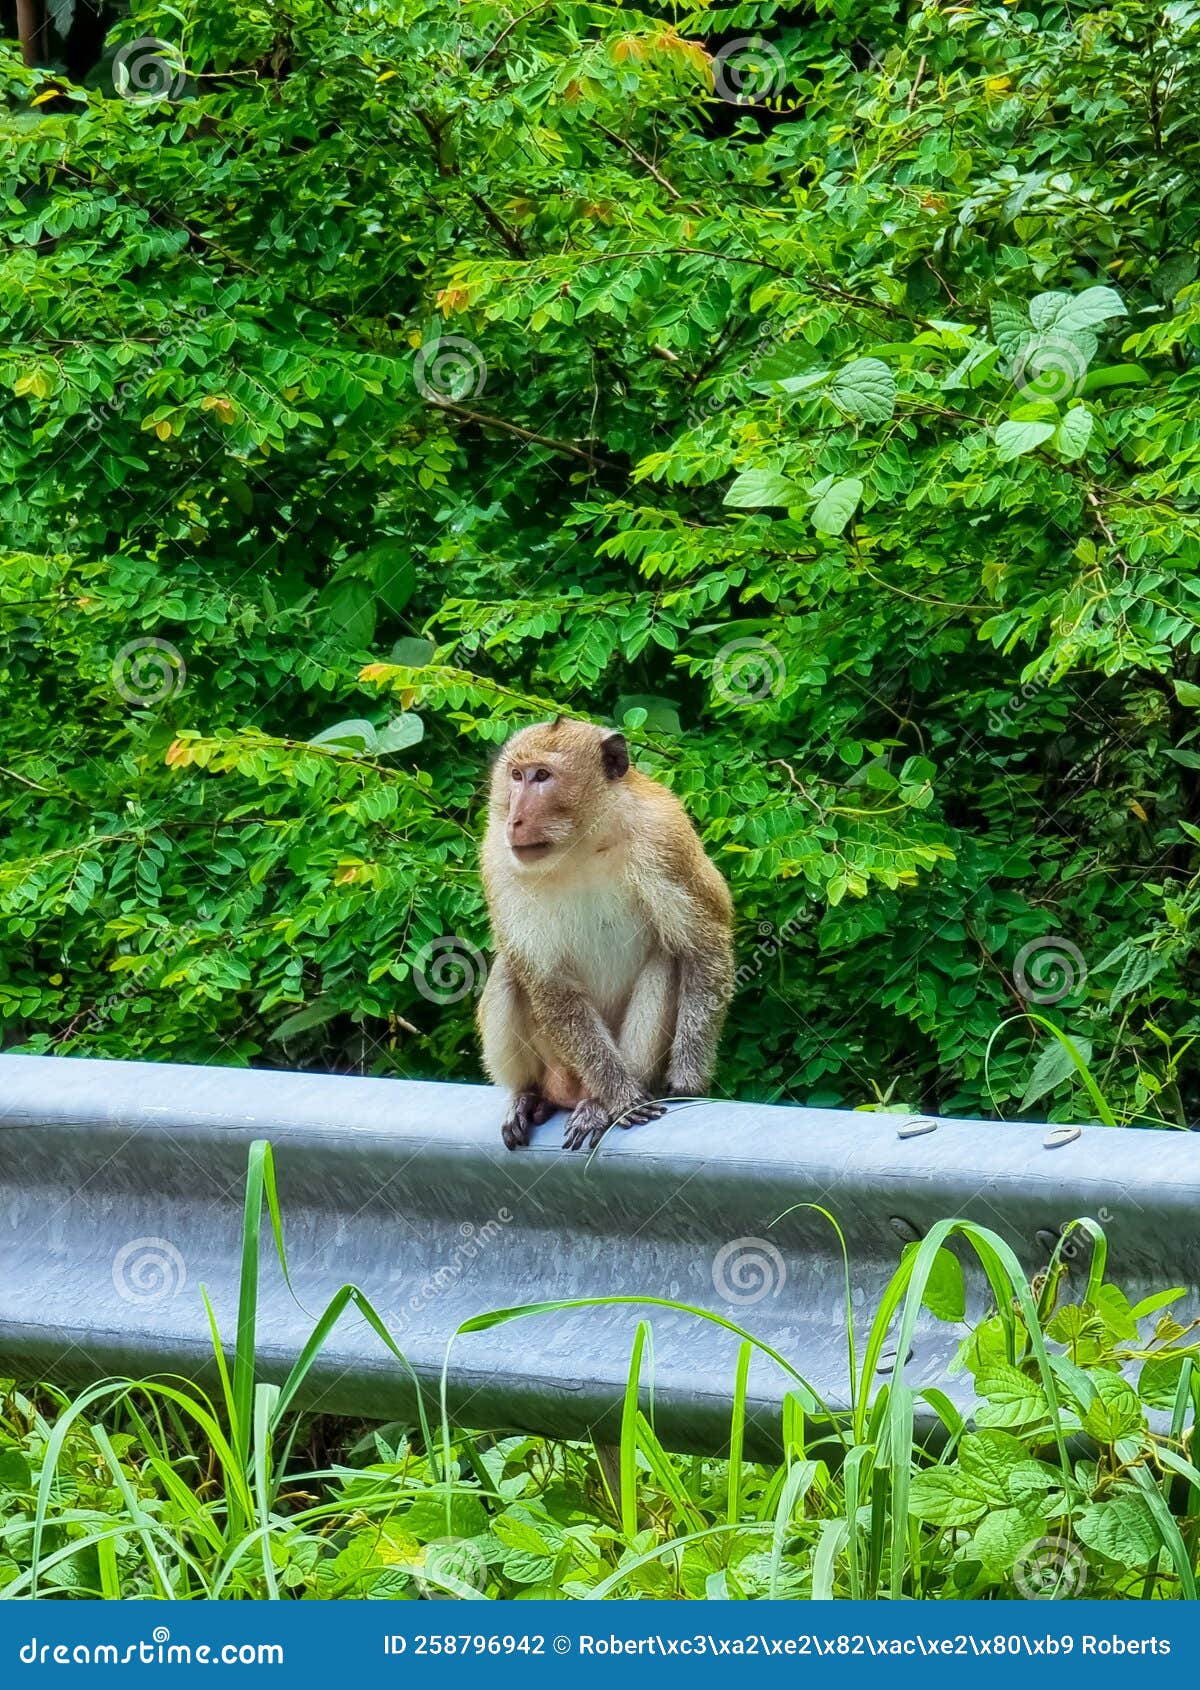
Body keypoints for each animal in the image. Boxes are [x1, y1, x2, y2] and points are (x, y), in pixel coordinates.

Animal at [476, 718, 734, 1151]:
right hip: (555, 1063)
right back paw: (529, 1095)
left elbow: (704, 946)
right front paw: (620, 1095)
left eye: (542, 776)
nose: (515, 820)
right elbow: (547, 979)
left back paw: (598, 1104)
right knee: (510, 969)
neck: (582, 841)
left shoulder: (665, 836)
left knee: (666, 960)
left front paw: (685, 1081)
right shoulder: (498, 856)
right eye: (516, 775)